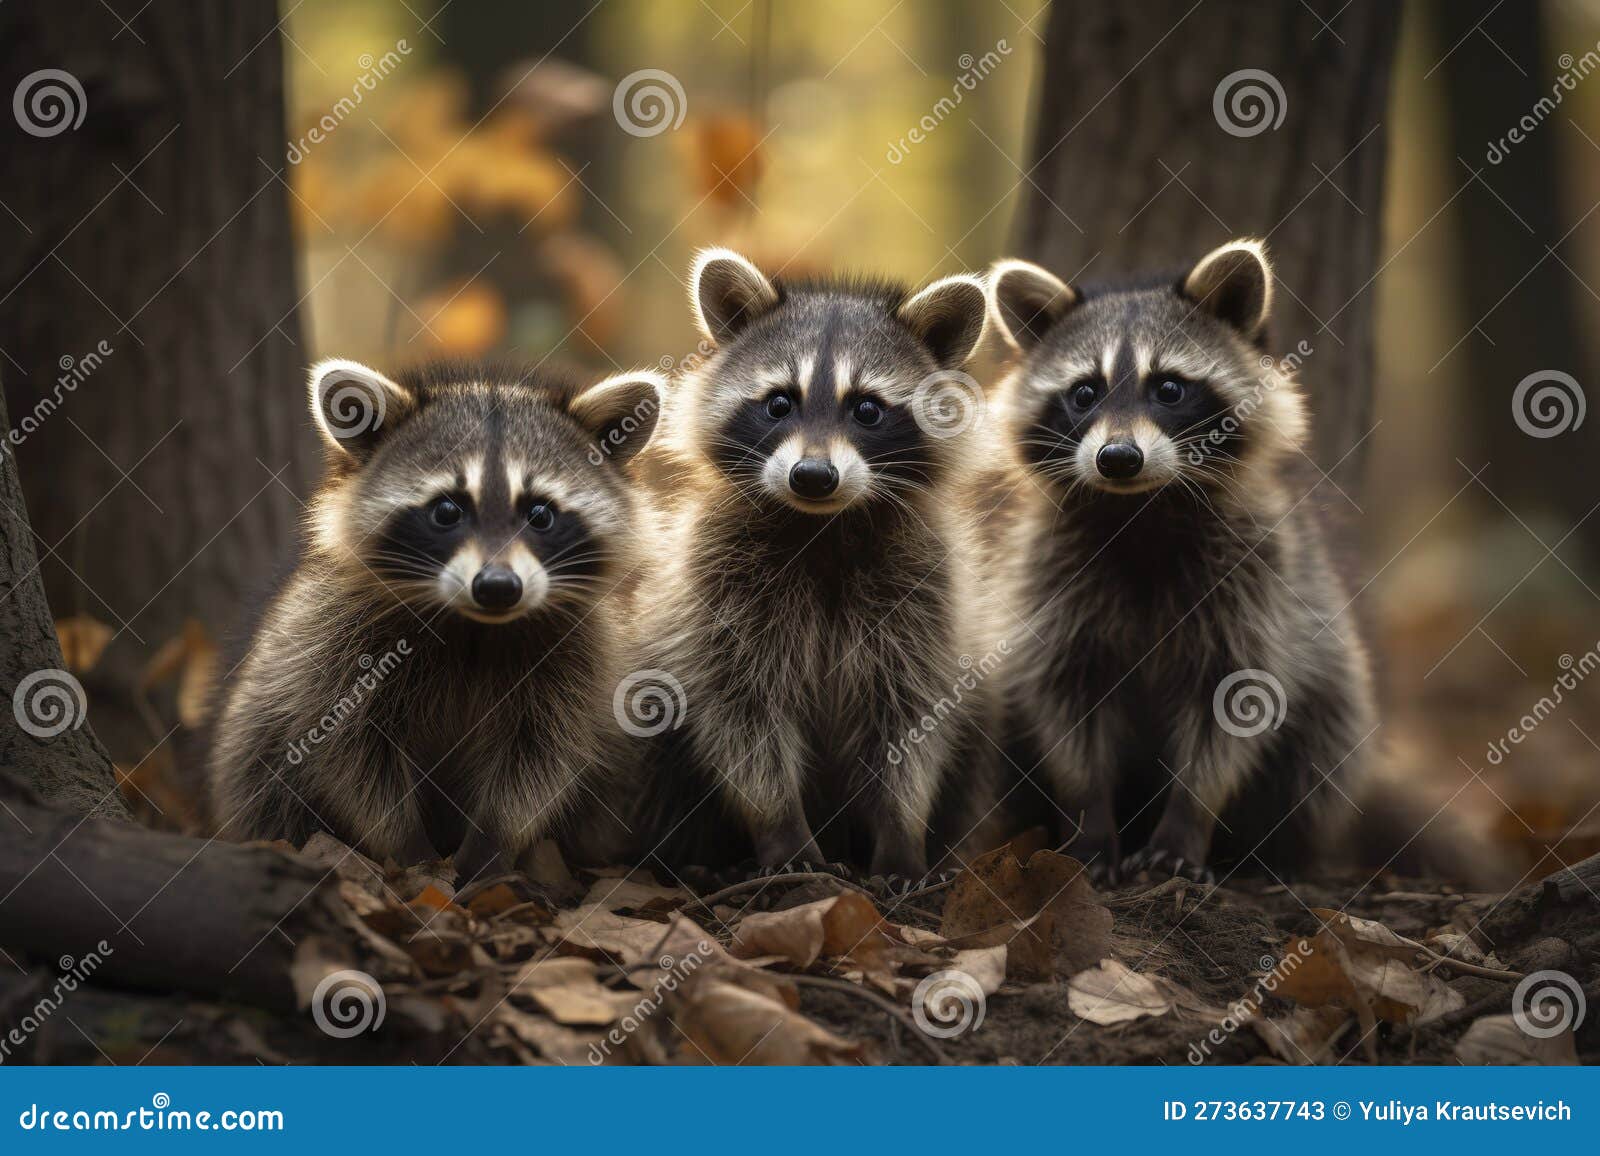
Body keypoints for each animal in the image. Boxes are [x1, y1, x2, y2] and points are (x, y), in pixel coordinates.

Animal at [209, 358, 663, 879]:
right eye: (447, 509)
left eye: (540, 514)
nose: (497, 587)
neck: (476, 625)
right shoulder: (337, 638)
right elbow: (350, 749)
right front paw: (409, 848)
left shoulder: (577, 655)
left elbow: (542, 755)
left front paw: (492, 843)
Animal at [631, 250, 1002, 882]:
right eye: (779, 403)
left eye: (868, 409)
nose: (812, 476)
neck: (823, 525)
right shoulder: (717, 583)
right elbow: (742, 715)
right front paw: (784, 834)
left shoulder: (924, 589)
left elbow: (911, 714)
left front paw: (902, 835)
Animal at [986, 240, 1376, 882]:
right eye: (1085, 393)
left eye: (1168, 388)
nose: (1118, 458)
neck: (1143, 508)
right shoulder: (1051, 584)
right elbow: (1065, 705)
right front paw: (1089, 821)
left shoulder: (1257, 579)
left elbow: (1235, 702)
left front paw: (1188, 821)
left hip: (1330, 679)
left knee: (1324, 748)